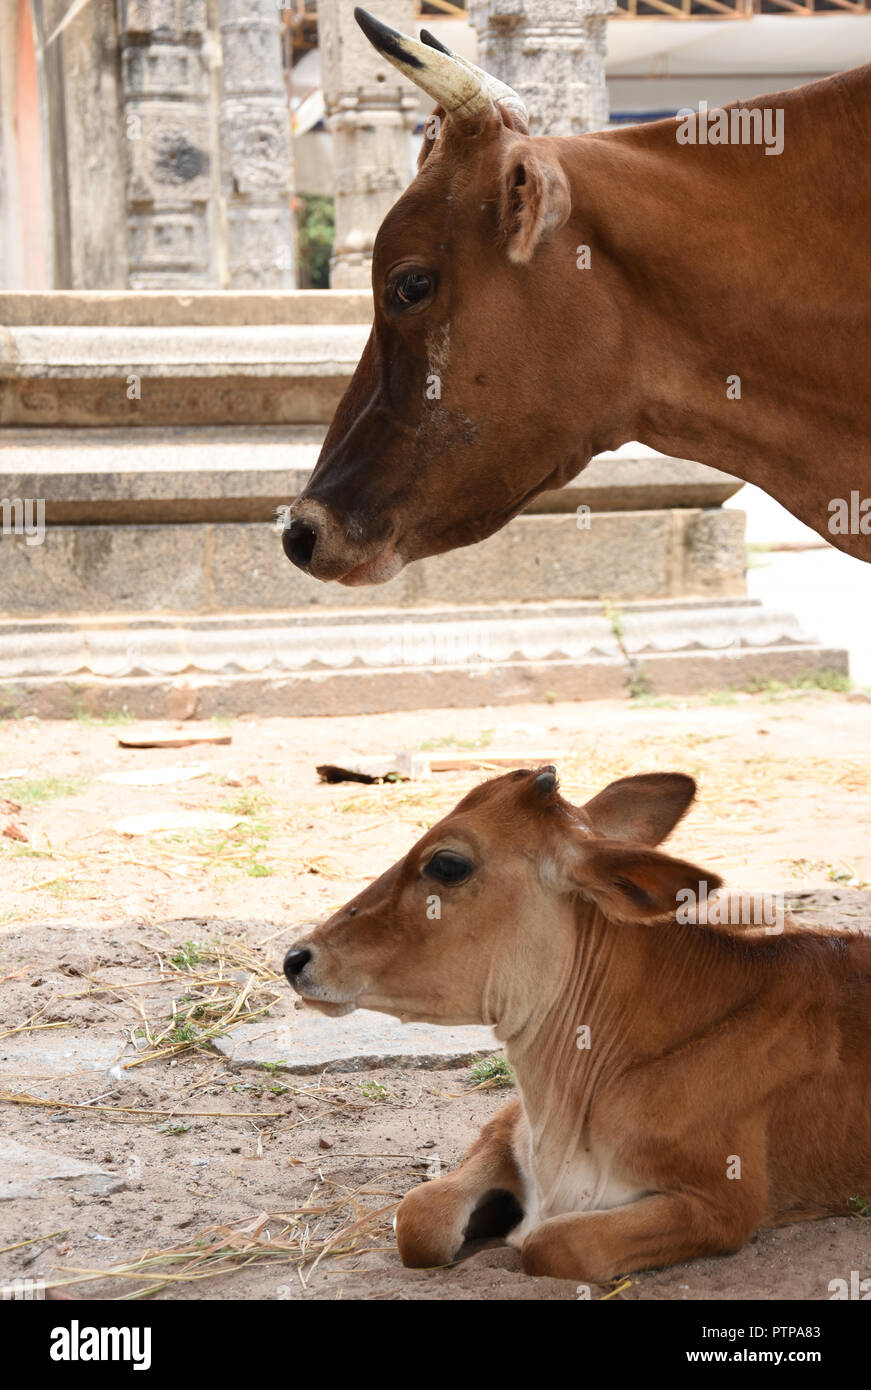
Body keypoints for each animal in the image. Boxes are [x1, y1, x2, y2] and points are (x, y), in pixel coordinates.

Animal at [284, 767, 871, 1282]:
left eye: (448, 864)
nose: (296, 957)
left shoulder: (723, 1203)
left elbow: (553, 1243)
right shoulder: (508, 1123)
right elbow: (419, 1216)